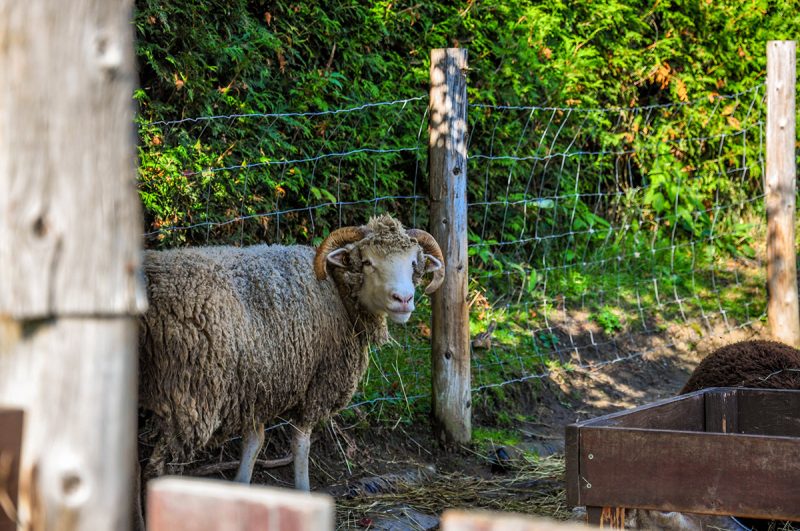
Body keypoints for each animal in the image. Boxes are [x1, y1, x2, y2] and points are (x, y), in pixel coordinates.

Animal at [137, 214, 445, 493]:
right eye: (367, 262)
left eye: (414, 263)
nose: (404, 299)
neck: (337, 290)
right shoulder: (317, 383)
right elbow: (300, 443)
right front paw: (303, 489)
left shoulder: (260, 385)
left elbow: (254, 442)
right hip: (188, 396)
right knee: (155, 469)